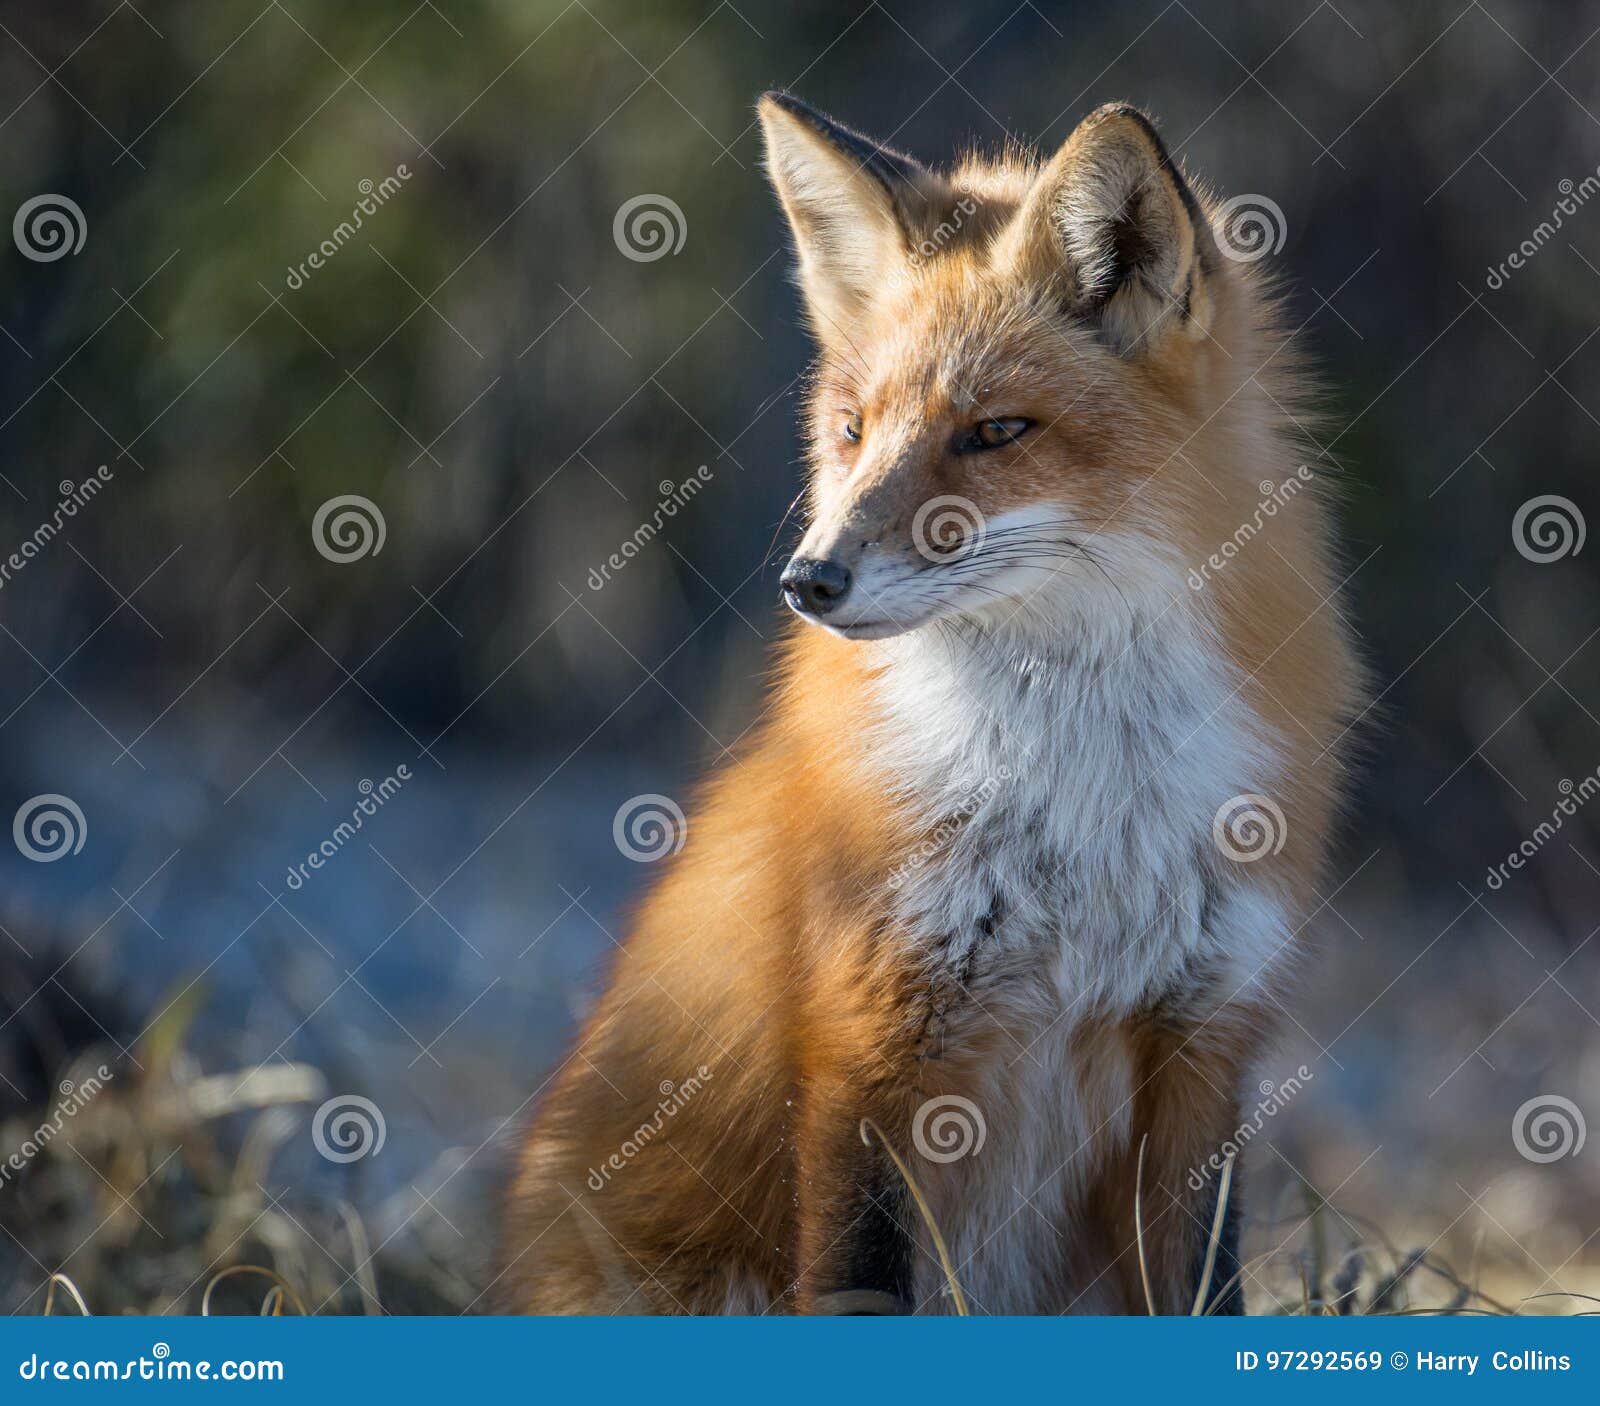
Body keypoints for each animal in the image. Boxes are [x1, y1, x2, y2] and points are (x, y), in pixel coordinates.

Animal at [497, 92, 1362, 1315]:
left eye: (995, 432)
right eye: (853, 429)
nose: (808, 581)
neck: (1086, 809)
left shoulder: (1203, 1040)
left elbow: (1204, 1287)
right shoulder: (871, 1036)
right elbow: (862, 1276)